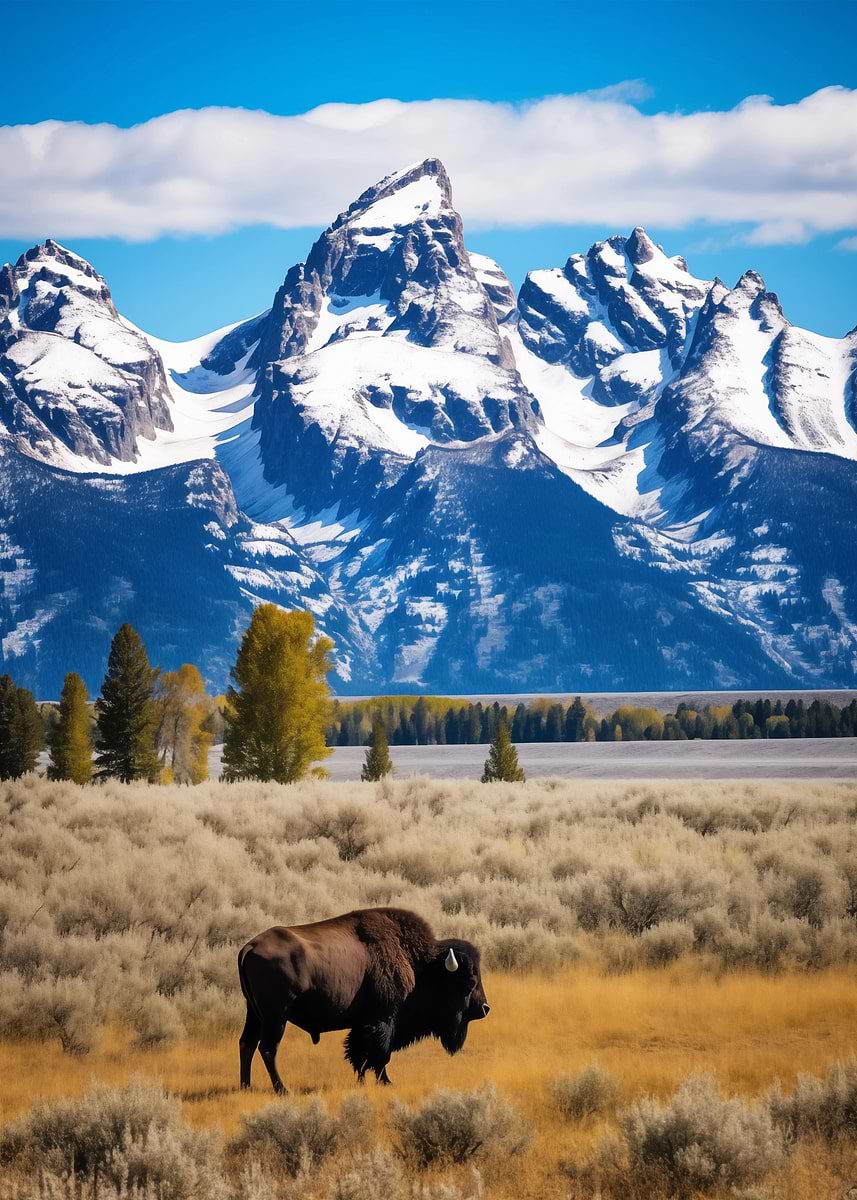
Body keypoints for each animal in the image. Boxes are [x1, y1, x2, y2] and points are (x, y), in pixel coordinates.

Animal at [238, 907, 490, 1092]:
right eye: (469, 982)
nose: (484, 1008)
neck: (419, 964)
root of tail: (250, 946)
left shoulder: (362, 1025)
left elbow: (359, 1054)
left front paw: (361, 1080)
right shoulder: (384, 1021)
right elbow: (380, 1055)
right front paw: (386, 1082)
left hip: (254, 1014)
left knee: (247, 1044)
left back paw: (246, 1086)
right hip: (276, 1016)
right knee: (267, 1048)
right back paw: (282, 1089)